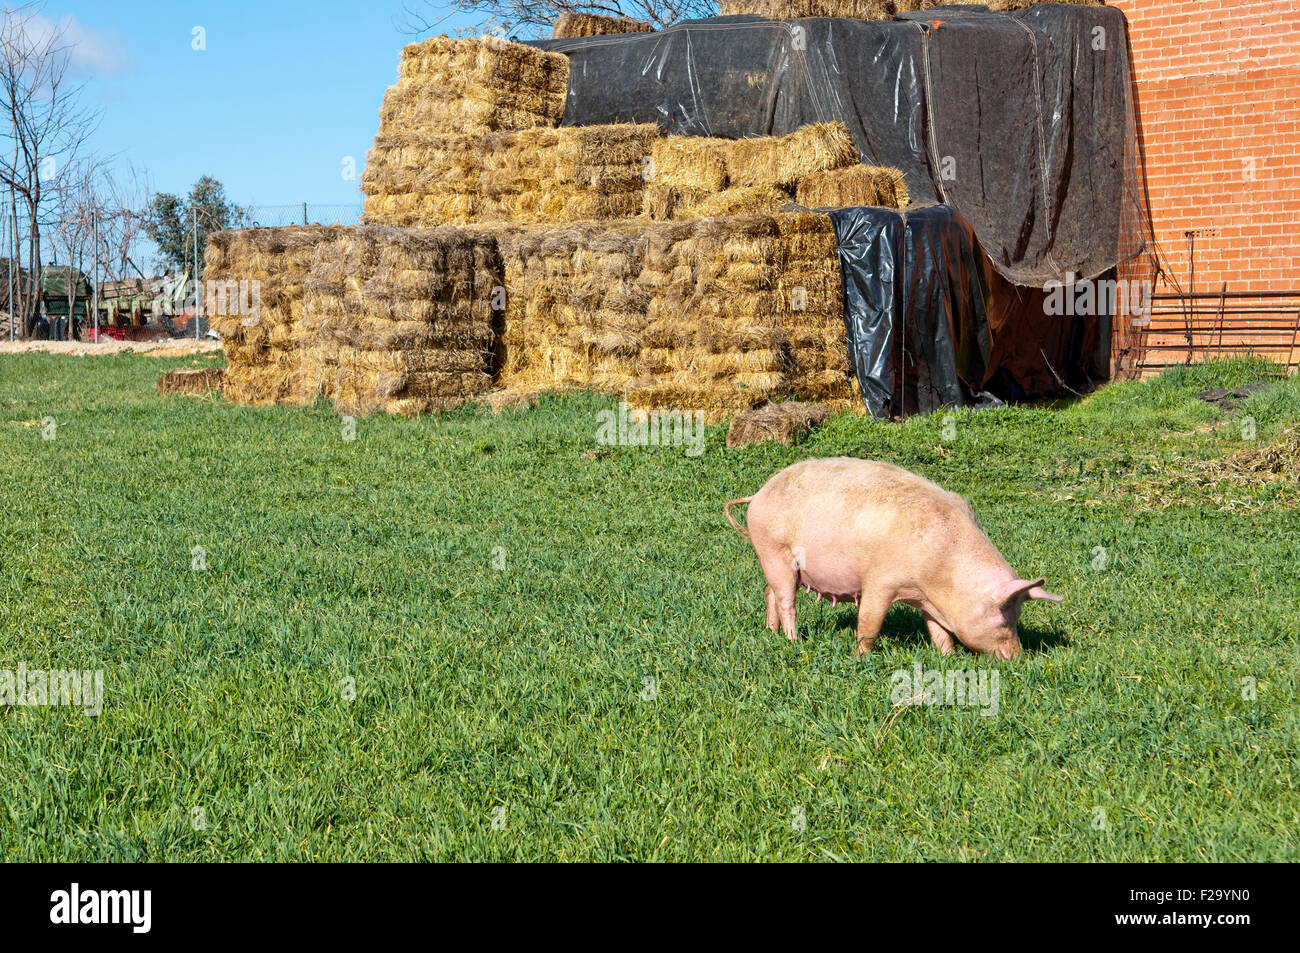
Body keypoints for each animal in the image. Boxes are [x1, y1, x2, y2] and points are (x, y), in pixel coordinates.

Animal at [724, 457, 1062, 660]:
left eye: (1018, 617)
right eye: (1004, 618)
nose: (1017, 659)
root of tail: (757, 494)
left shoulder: (927, 599)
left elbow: (939, 632)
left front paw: (948, 658)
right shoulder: (880, 581)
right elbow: (869, 622)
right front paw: (860, 658)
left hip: (778, 563)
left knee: (769, 592)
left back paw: (772, 633)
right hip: (773, 550)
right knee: (786, 601)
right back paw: (794, 641)